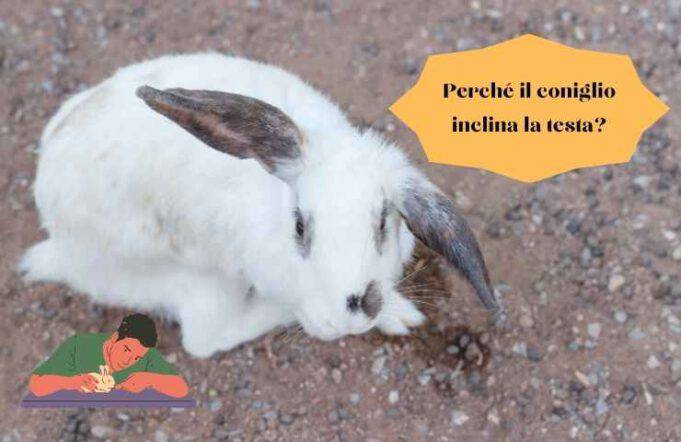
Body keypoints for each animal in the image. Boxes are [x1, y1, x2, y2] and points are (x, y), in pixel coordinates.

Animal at [20, 53, 499, 358]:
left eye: (383, 223)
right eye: (300, 226)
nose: (343, 319)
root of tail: (58, 249)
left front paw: (399, 313)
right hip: (198, 280)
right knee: (205, 339)